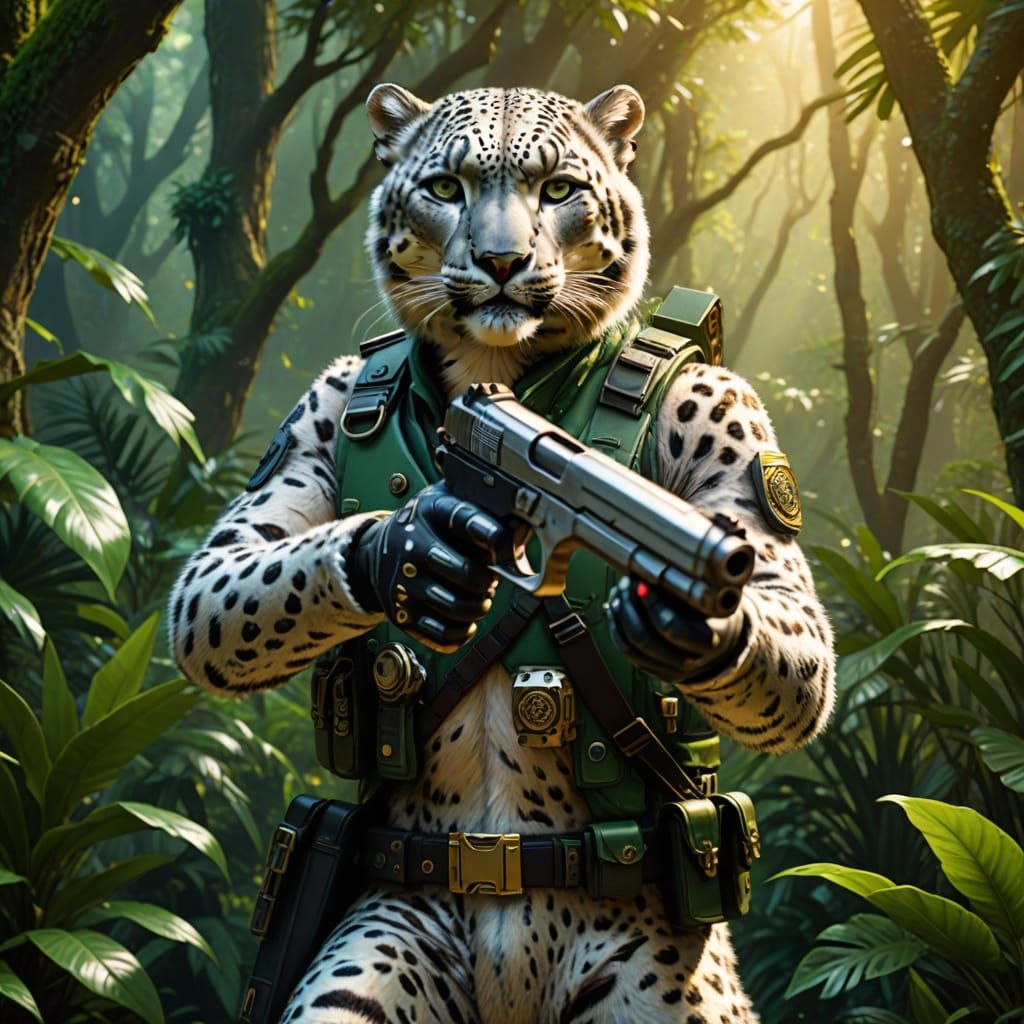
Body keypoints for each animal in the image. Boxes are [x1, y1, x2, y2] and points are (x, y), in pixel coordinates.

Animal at [168, 83, 836, 1024]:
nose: (499, 261)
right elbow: (208, 588)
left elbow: (802, 644)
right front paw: (406, 555)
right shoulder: (321, 410)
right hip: (394, 927)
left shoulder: (721, 399)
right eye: (445, 188)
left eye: (558, 190)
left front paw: (698, 630)